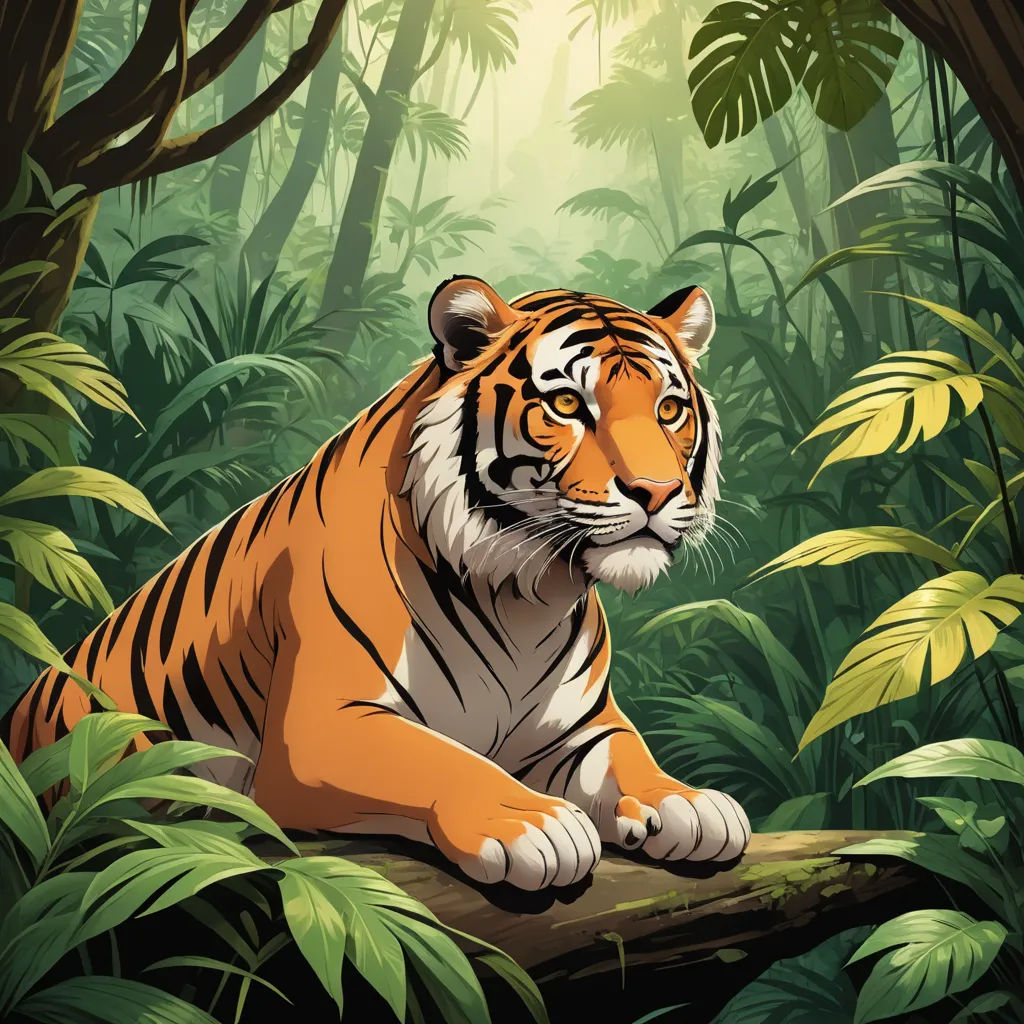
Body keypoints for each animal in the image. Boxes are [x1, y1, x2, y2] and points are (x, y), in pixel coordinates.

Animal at [8, 276, 750, 890]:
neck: (525, 595)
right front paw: (532, 824)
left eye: (669, 410)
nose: (657, 491)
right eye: (567, 403)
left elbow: (629, 756)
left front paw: (688, 802)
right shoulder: (321, 728)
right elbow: (445, 759)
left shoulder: (582, 728)